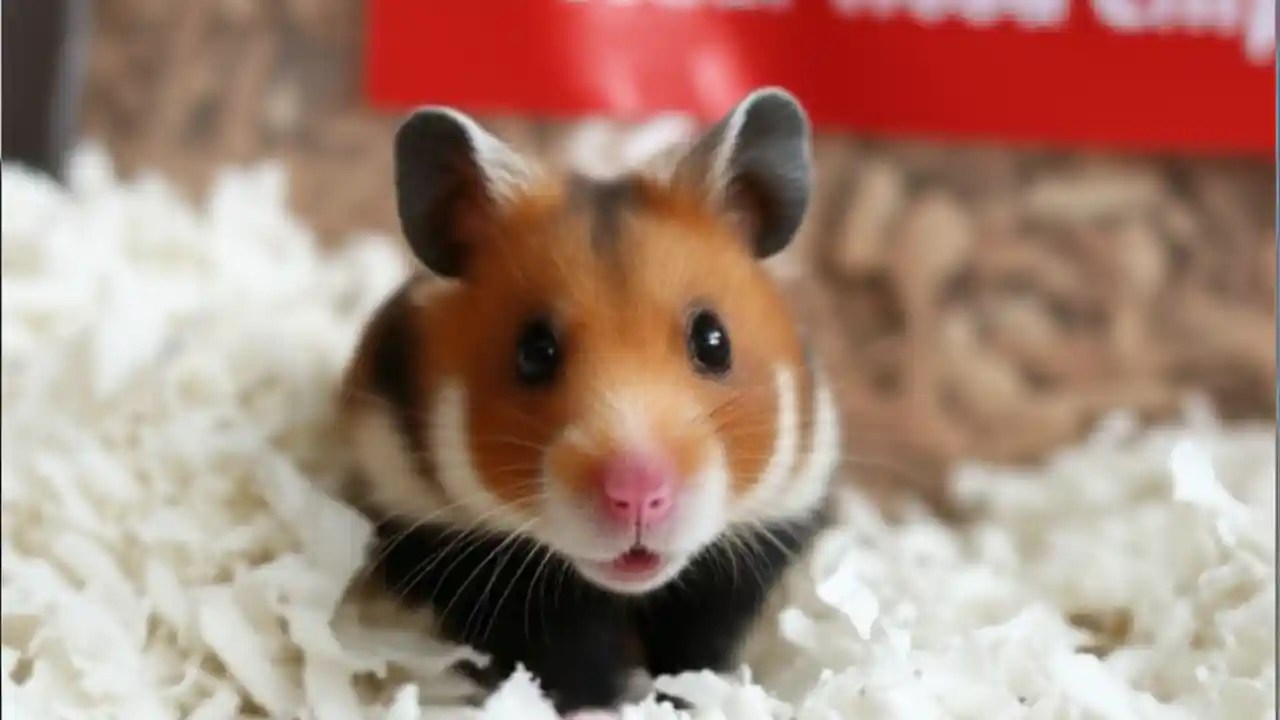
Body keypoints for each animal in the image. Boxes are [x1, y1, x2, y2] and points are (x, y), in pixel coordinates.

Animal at [334, 88, 841, 715]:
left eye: (713, 341)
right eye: (534, 352)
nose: (637, 494)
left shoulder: (753, 551)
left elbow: (699, 649)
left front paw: (695, 699)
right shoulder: (475, 562)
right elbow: (563, 657)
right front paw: (602, 708)